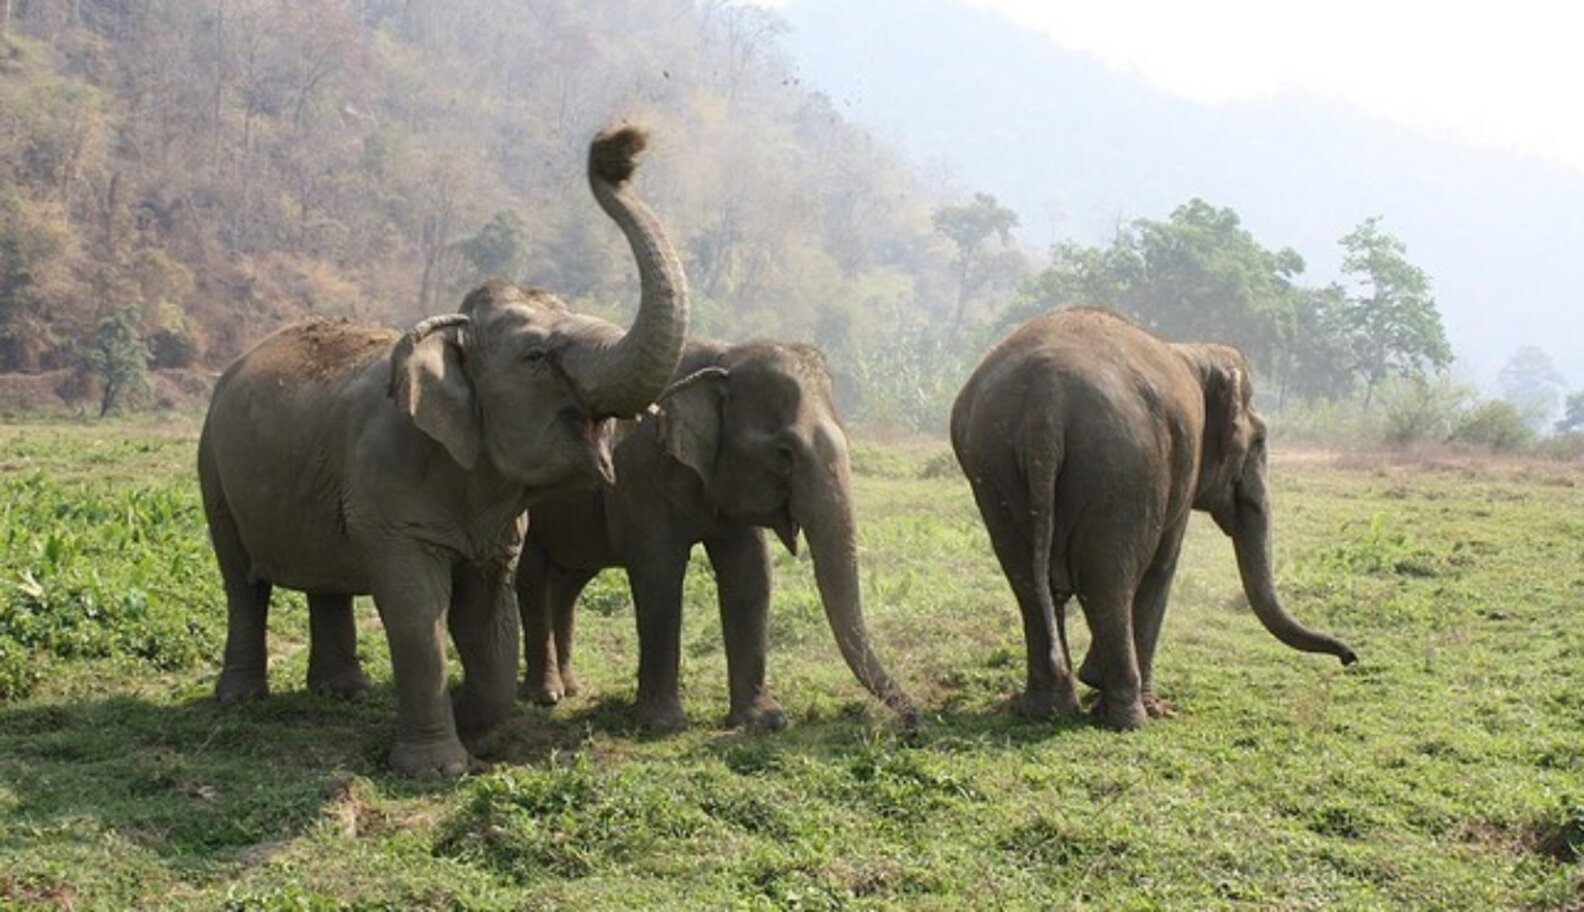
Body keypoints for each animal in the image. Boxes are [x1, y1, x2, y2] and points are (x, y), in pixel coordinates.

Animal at [196, 125, 690, 776]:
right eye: (536, 357)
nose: (617, 147)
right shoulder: (387, 485)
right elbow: (416, 613)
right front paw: (435, 768)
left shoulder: (497, 523)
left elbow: (489, 618)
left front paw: (474, 723)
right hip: (212, 469)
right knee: (240, 578)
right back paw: (242, 698)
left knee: (325, 577)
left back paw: (344, 692)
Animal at [515, 339, 918, 730]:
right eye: (783, 453)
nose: (914, 717)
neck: (722, 357)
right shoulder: (639, 477)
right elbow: (658, 572)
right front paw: (663, 725)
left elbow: (750, 573)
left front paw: (765, 720)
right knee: (532, 578)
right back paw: (546, 695)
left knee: (568, 584)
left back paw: (570, 687)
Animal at [950, 308, 1356, 731]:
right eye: (1260, 440)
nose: (1350, 657)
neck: (1192, 350)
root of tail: (1046, 401)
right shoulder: (1181, 470)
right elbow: (1163, 563)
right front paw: (1133, 697)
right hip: (1122, 466)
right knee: (1109, 581)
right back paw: (1130, 717)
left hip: (995, 466)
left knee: (1029, 582)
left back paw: (1047, 709)